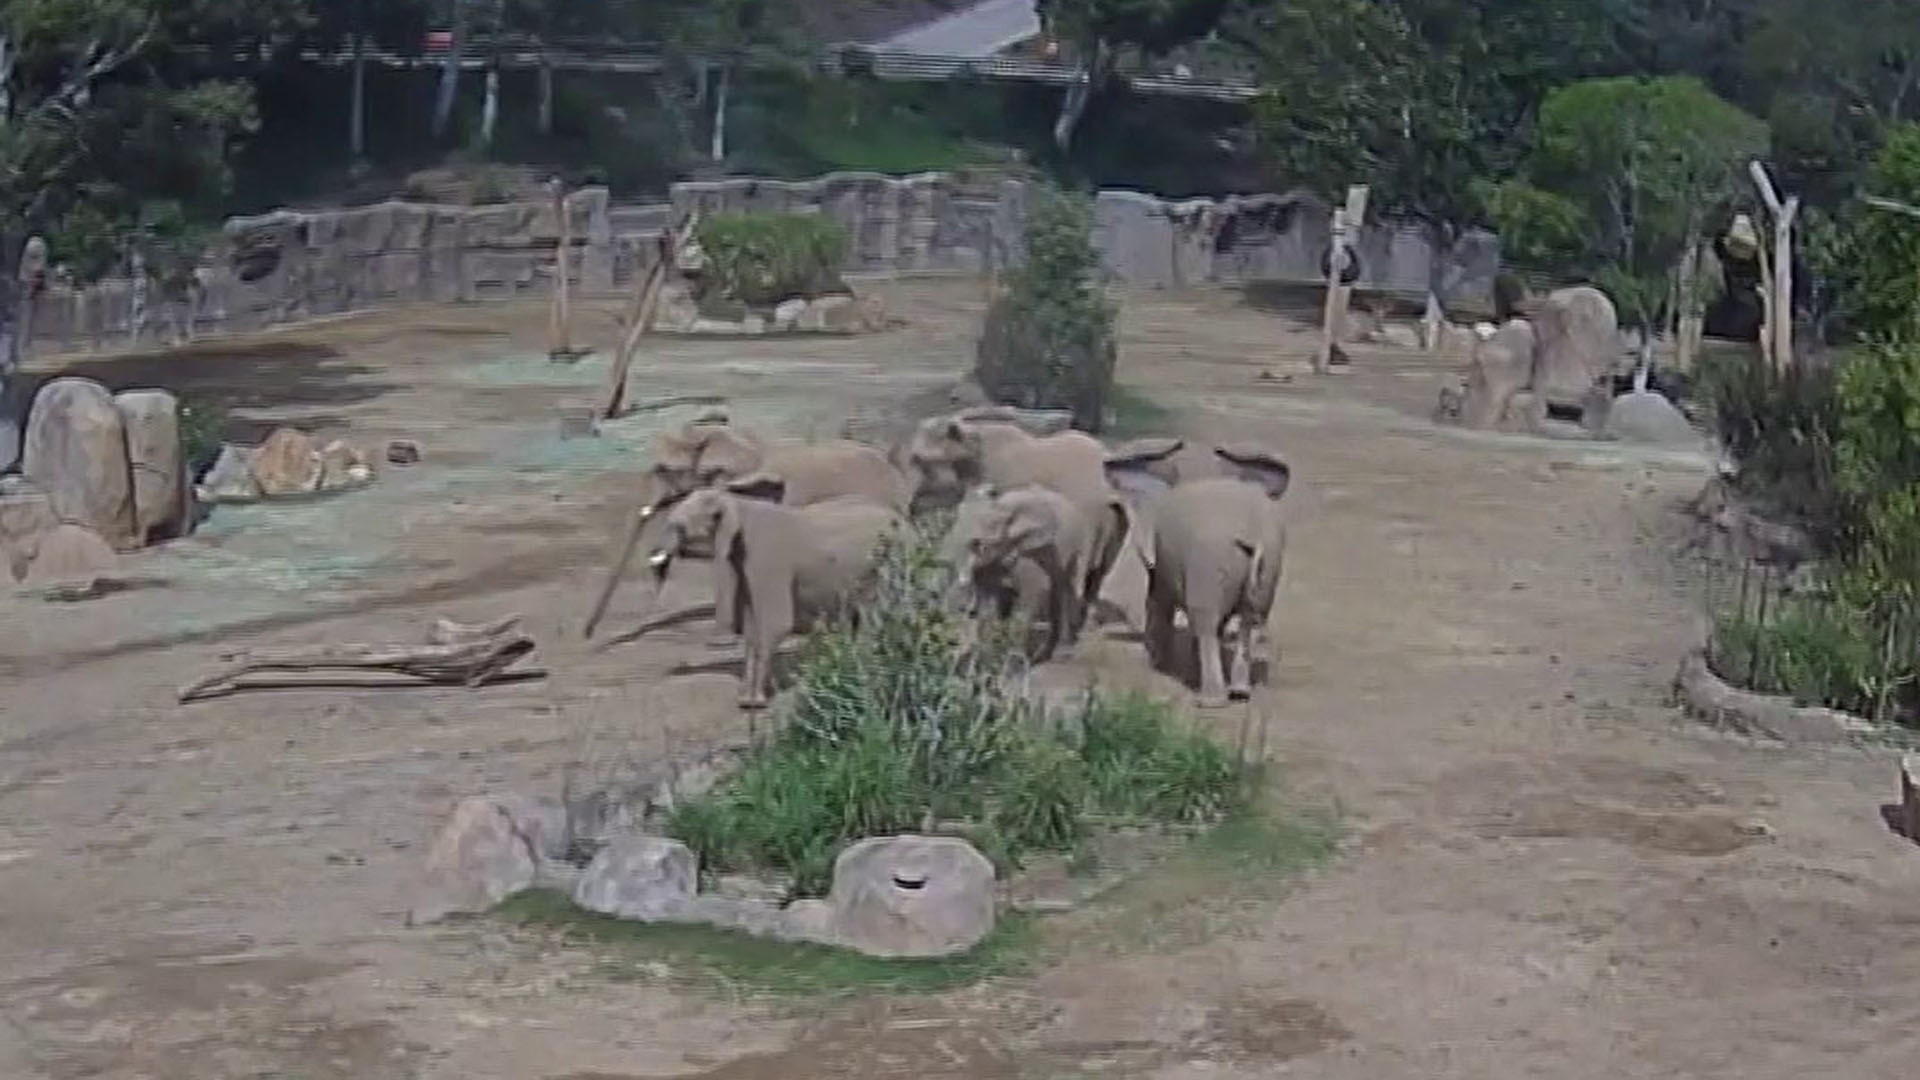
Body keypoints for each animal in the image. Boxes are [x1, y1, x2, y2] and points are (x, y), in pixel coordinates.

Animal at [646, 477, 902, 709]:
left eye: (678, 527)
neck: (738, 502)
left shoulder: (766, 557)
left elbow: (775, 623)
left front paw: (755, 703)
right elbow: (751, 629)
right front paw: (745, 701)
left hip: (889, 562)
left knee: (876, 613)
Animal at [1115, 445, 1292, 708]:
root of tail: (1252, 535)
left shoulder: (1165, 556)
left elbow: (1159, 600)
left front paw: (1155, 664)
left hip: (1209, 559)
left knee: (1205, 620)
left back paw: (1210, 700)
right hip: (1269, 562)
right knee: (1251, 619)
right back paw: (1239, 694)